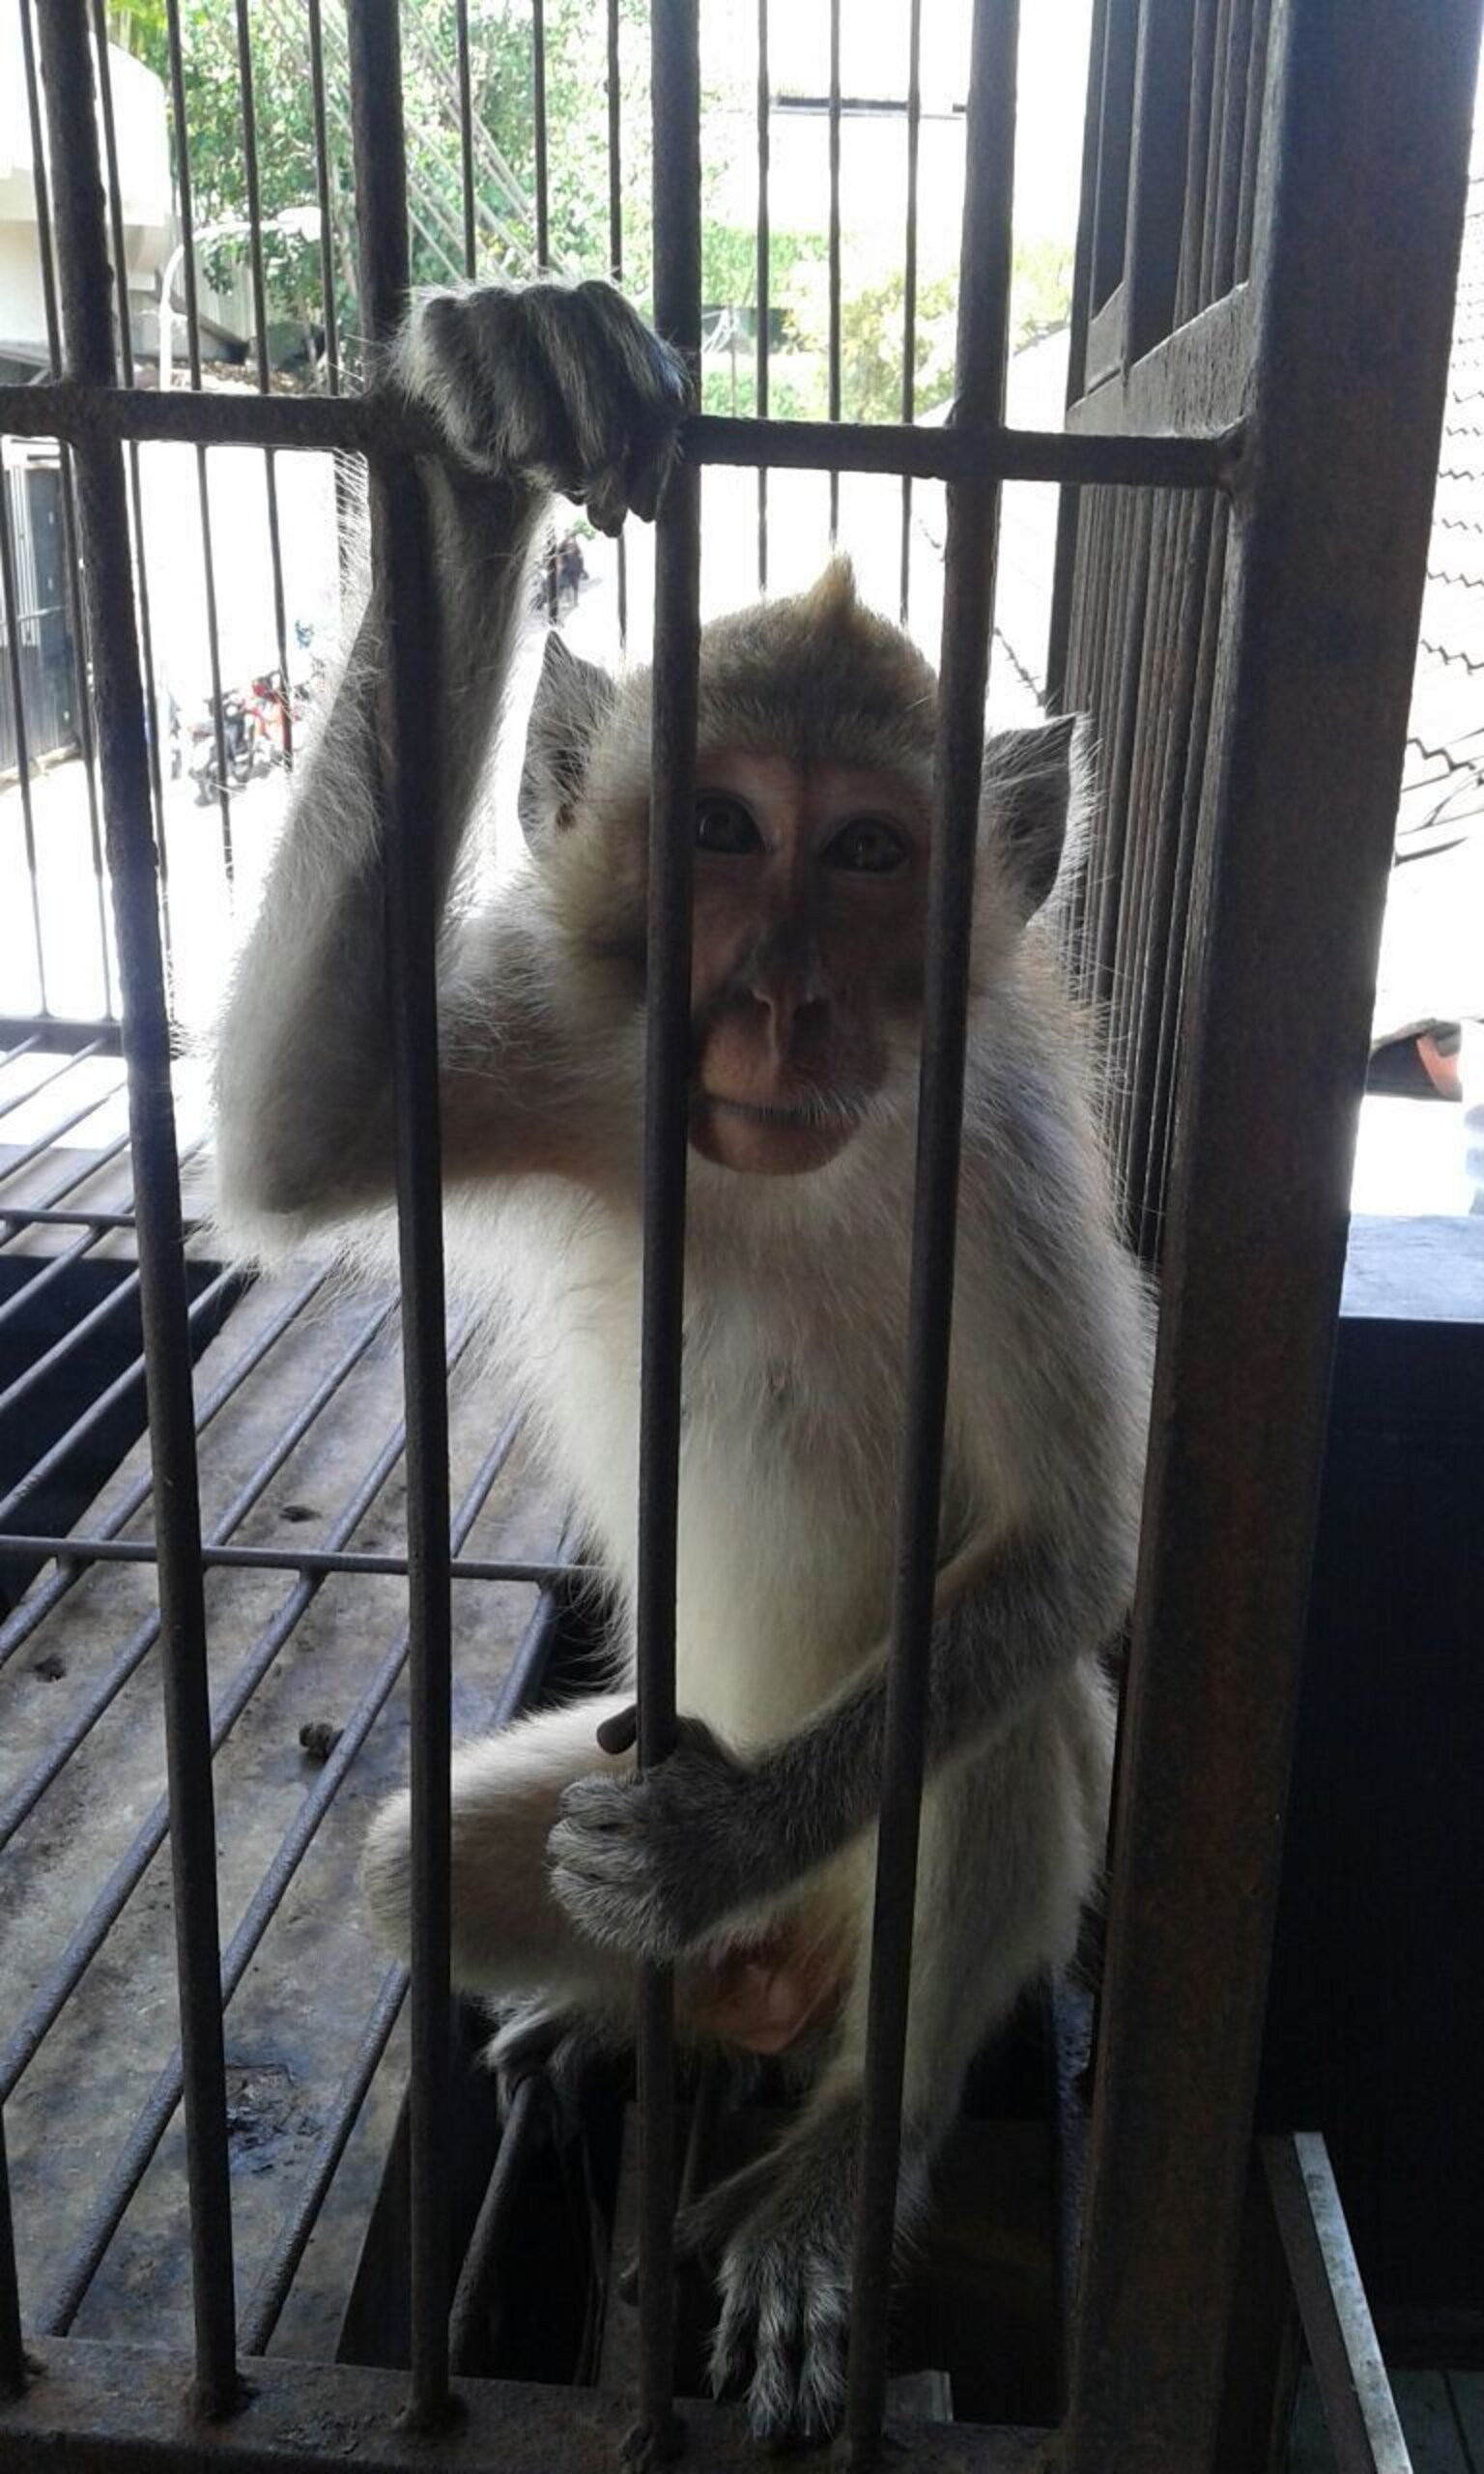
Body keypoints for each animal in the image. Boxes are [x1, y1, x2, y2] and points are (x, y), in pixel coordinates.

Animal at [212, 278, 1152, 2445]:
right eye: (721, 827)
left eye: (873, 854)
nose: (784, 1003)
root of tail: (774, 1976)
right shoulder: (571, 1038)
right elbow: (304, 1119)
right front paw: (490, 423)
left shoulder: (1005, 1161)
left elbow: (1070, 1543)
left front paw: (710, 1837)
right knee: (420, 1864)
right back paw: (602, 2018)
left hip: (866, 1900)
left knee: (1006, 1731)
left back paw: (838, 2151)